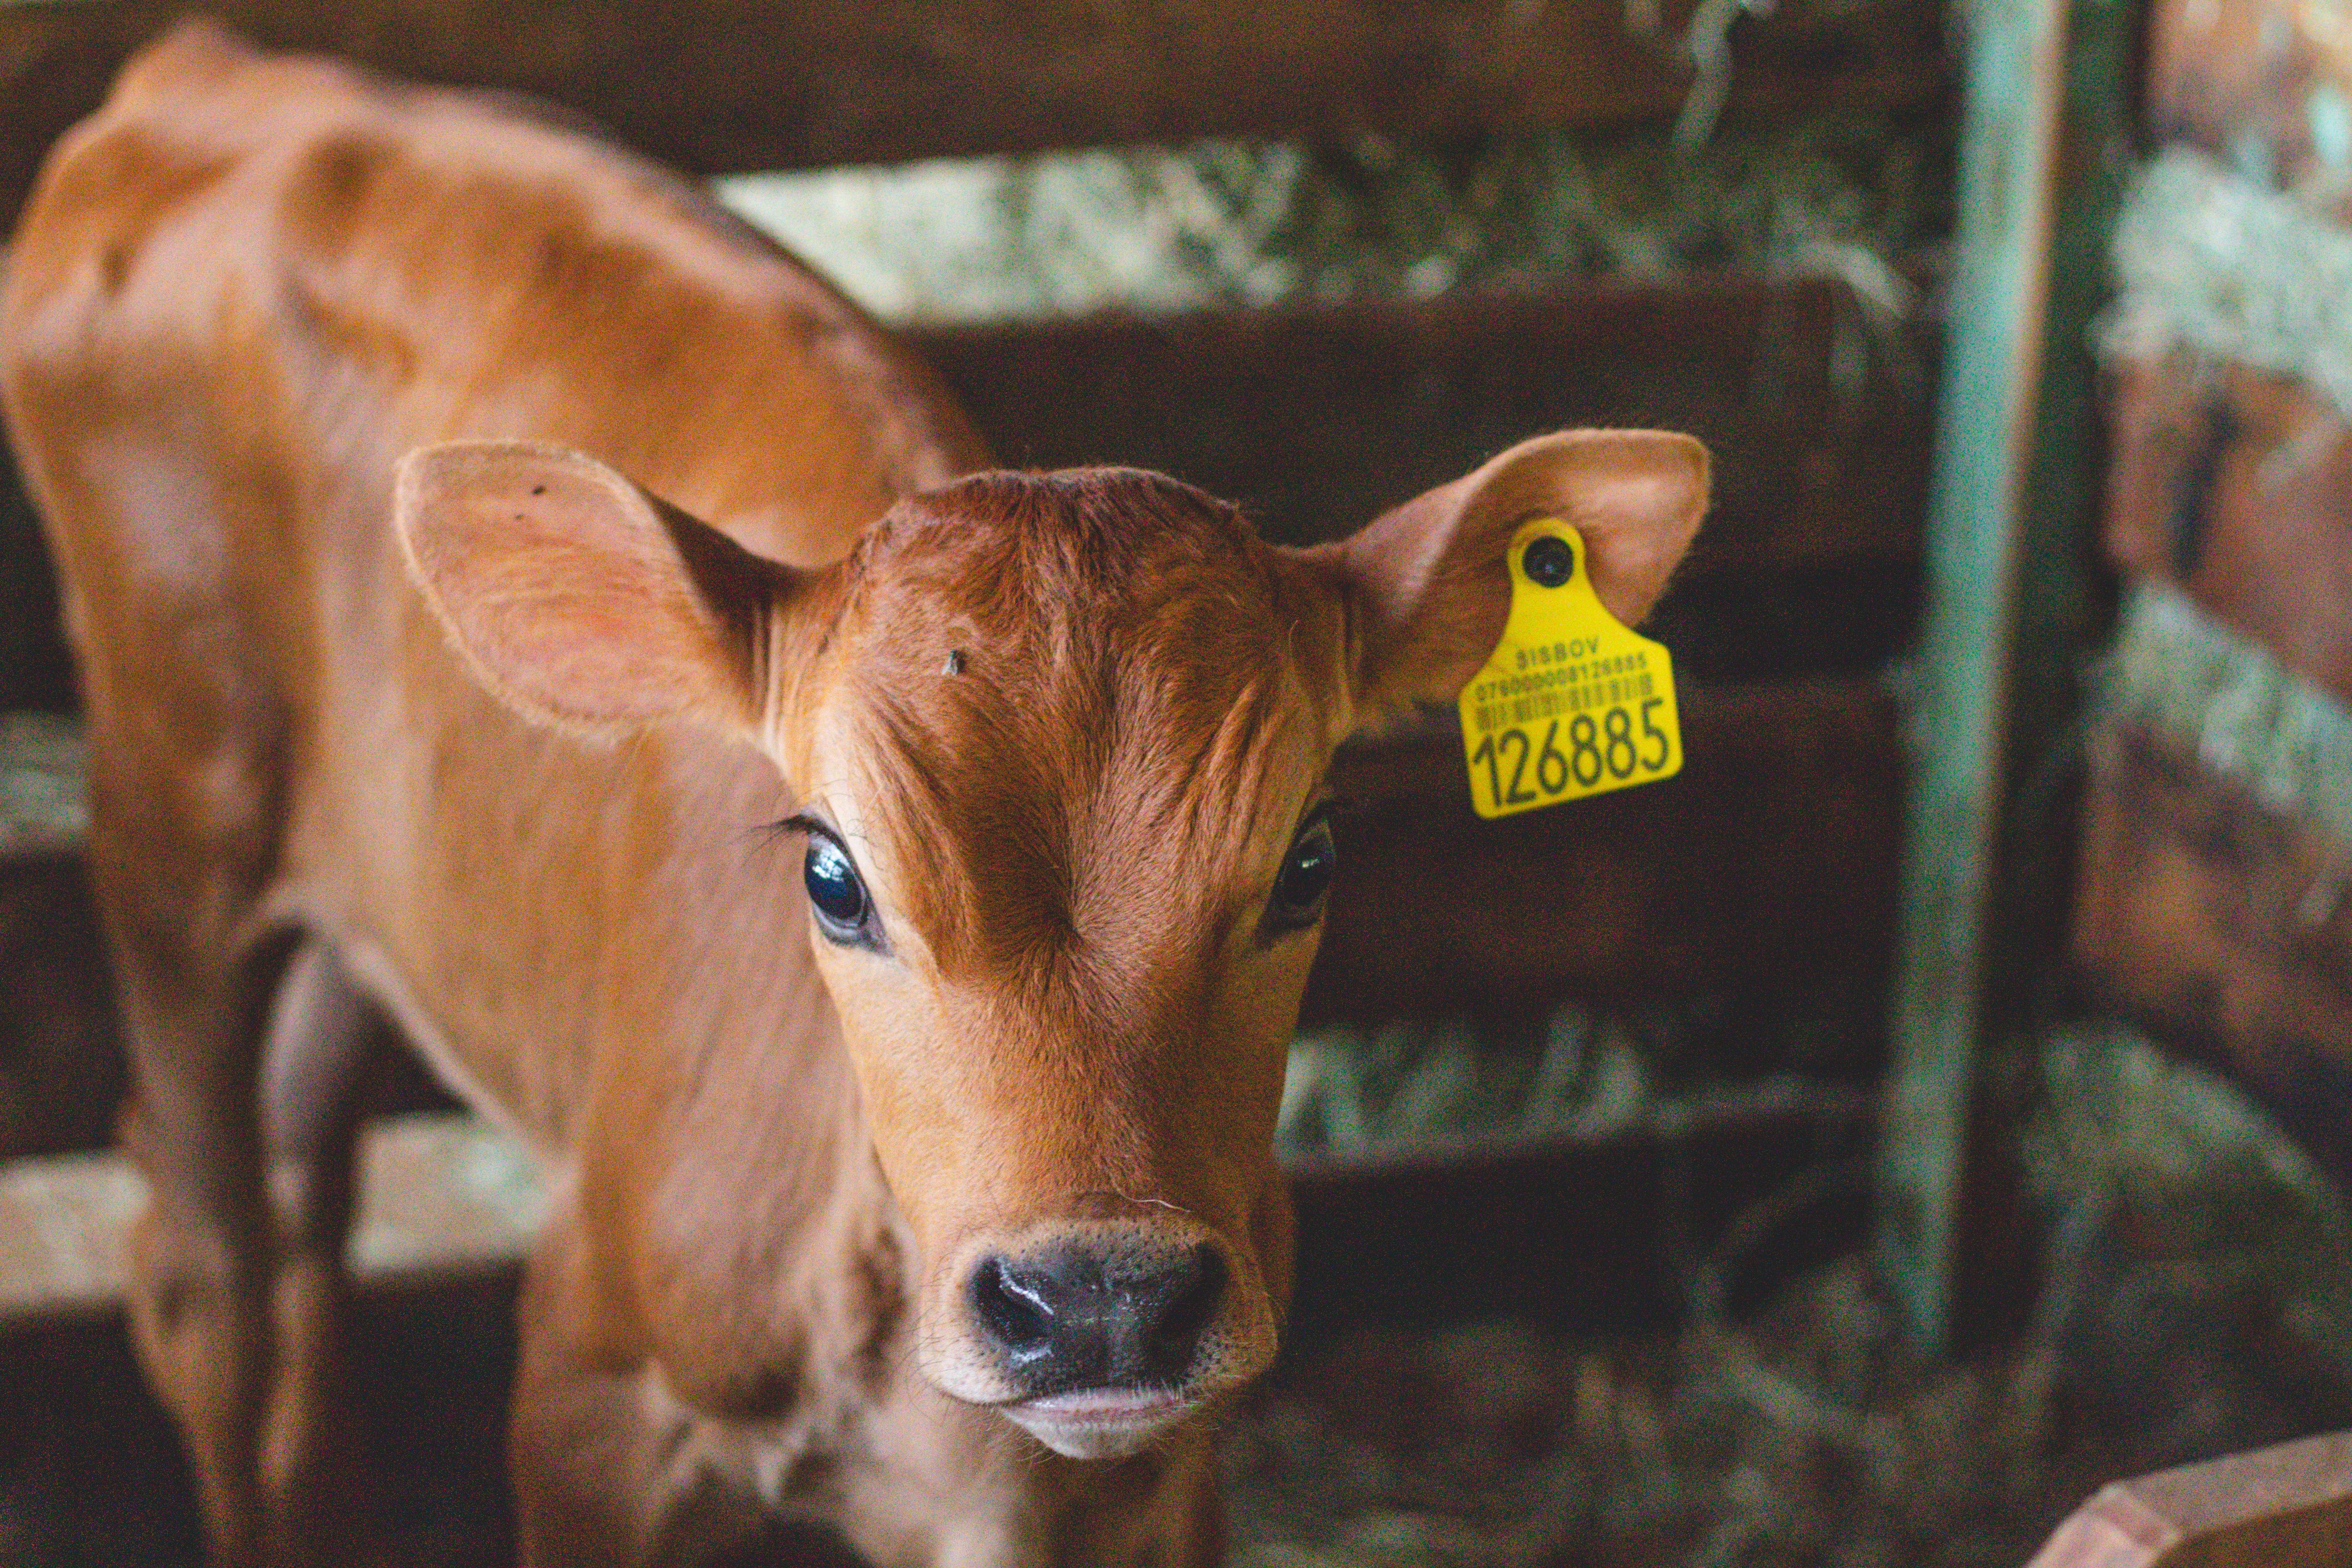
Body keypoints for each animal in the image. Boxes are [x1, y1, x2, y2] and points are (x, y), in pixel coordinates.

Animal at [0, 22, 1709, 1567]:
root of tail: (216, 68)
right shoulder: (590, 1401)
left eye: (1308, 859)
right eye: (833, 878)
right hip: (170, 813)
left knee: (299, 1214)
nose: (1100, 1301)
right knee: (205, 1265)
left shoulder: (1162, 1475)